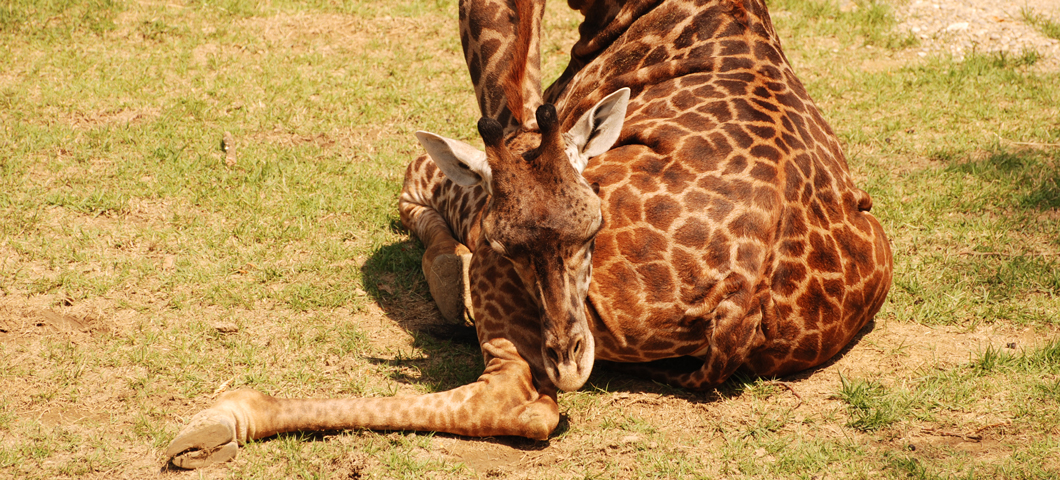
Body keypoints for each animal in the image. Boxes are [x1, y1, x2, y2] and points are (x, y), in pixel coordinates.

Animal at [164, 0, 893, 468]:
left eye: (594, 230)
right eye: (514, 245)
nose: (570, 358)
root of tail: (742, 299)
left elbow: (421, 173)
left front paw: (448, 276)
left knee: (513, 396)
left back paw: (218, 422)